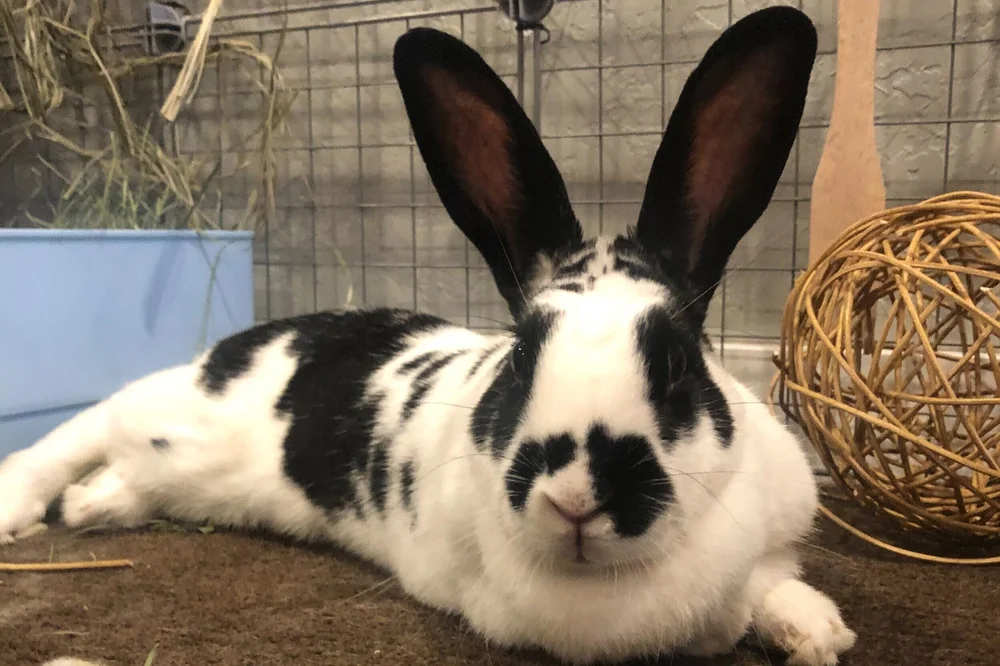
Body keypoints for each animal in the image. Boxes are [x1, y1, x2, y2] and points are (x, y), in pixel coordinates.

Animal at [0, 7, 856, 666]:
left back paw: (89, 507)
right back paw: (23, 506)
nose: (577, 497)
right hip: (176, 417)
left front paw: (818, 632)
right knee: (86, 426)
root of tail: (235, 348)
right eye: (520, 361)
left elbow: (769, 581)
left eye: (674, 364)